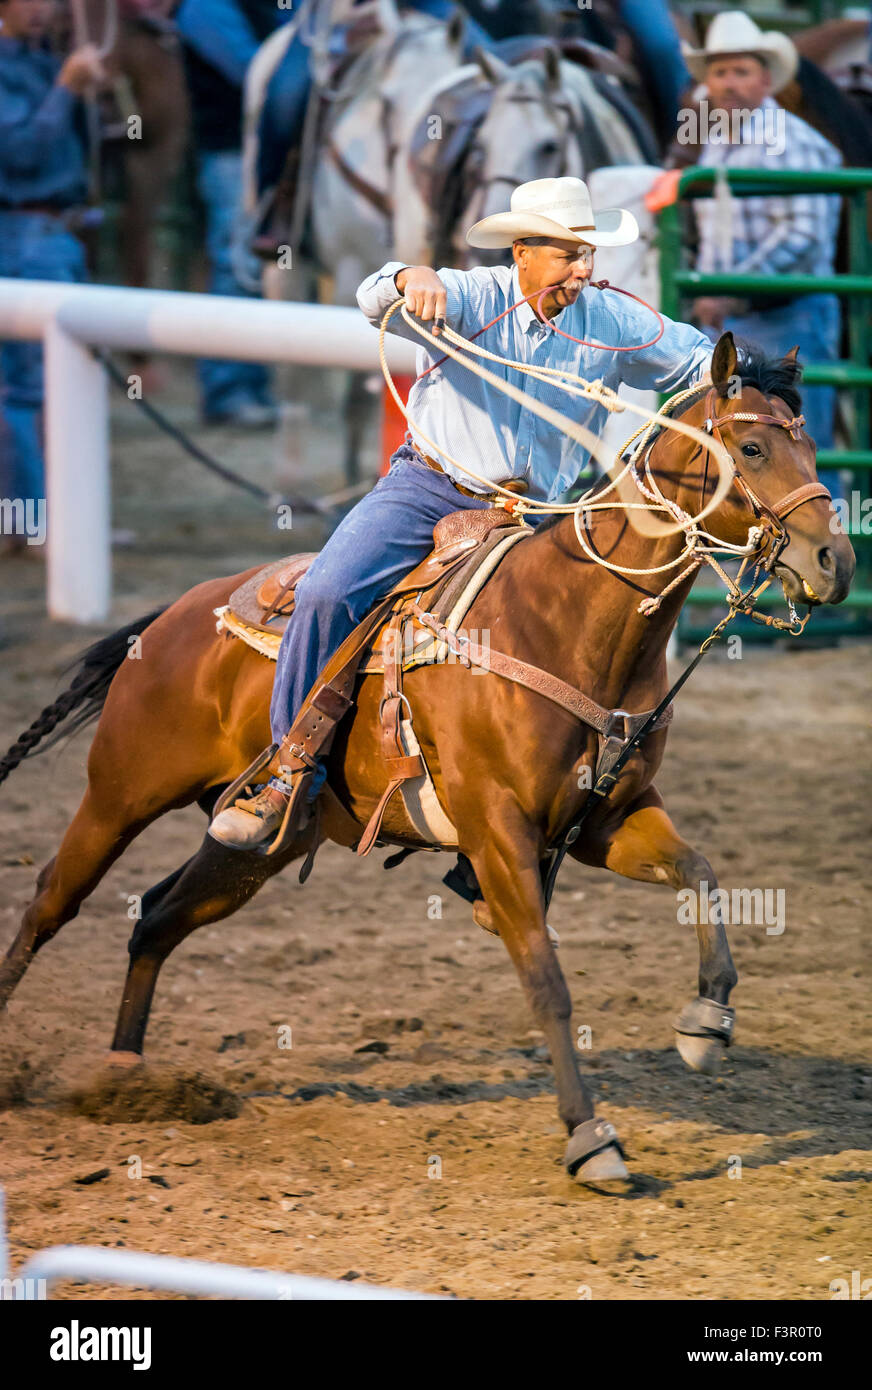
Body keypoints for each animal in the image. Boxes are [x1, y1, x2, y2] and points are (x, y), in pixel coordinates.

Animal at [0, 334, 854, 1187]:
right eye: (752, 447)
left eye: (813, 444)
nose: (835, 562)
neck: (569, 622)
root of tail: (169, 616)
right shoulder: (497, 833)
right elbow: (547, 979)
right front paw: (591, 1137)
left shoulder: (607, 823)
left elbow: (701, 873)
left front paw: (707, 1021)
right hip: (121, 794)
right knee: (51, 902)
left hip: (256, 847)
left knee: (156, 919)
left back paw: (126, 1080)